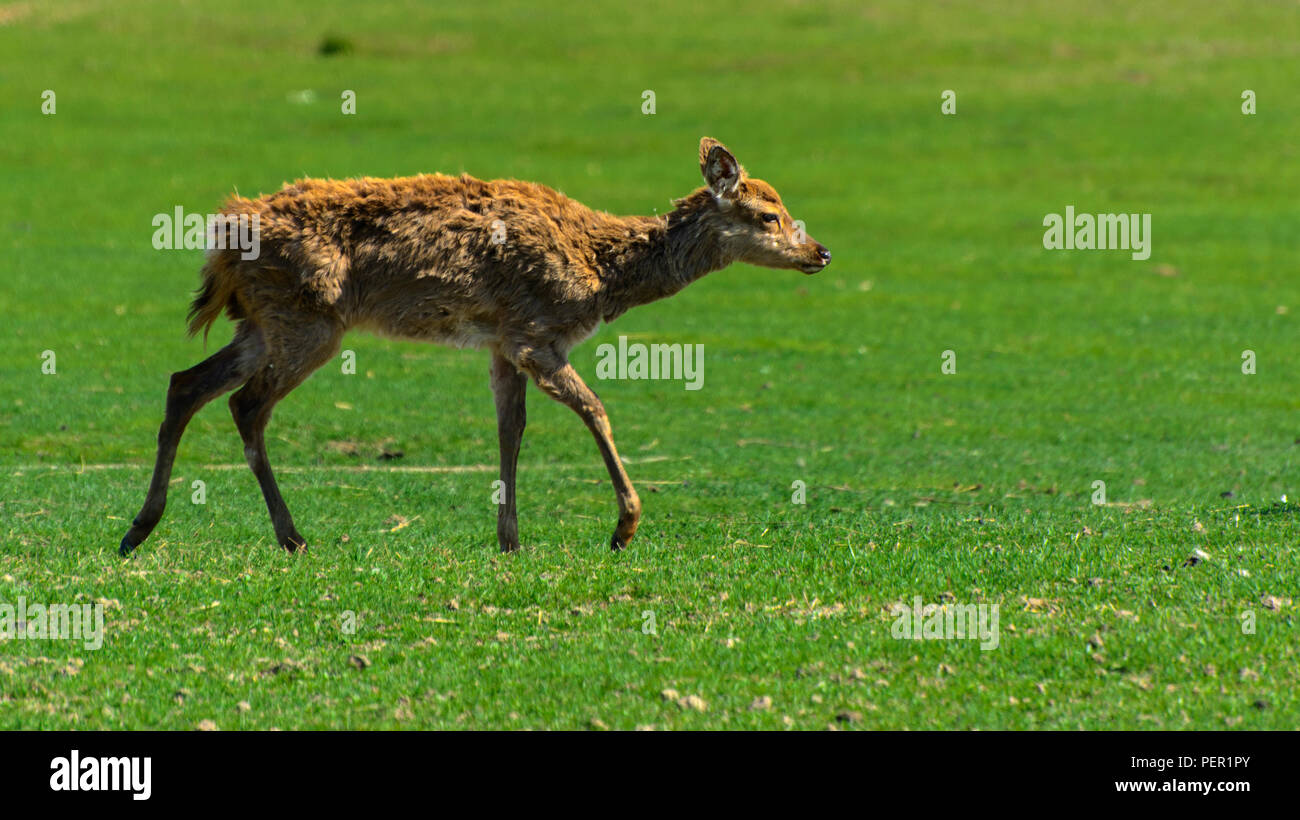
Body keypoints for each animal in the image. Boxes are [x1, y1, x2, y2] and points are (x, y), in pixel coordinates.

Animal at [119, 137, 831, 556]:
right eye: (767, 214)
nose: (820, 252)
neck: (601, 271)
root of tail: (220, 241)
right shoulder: (535, 332)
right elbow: (594, 407)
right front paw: (624, 526)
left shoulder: (500, 342)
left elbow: (509, 430)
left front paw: (508, 539)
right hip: (308, 322)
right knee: (245, 404)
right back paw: (291, 535)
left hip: (262, 323)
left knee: (186, 383)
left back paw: (139, 528)